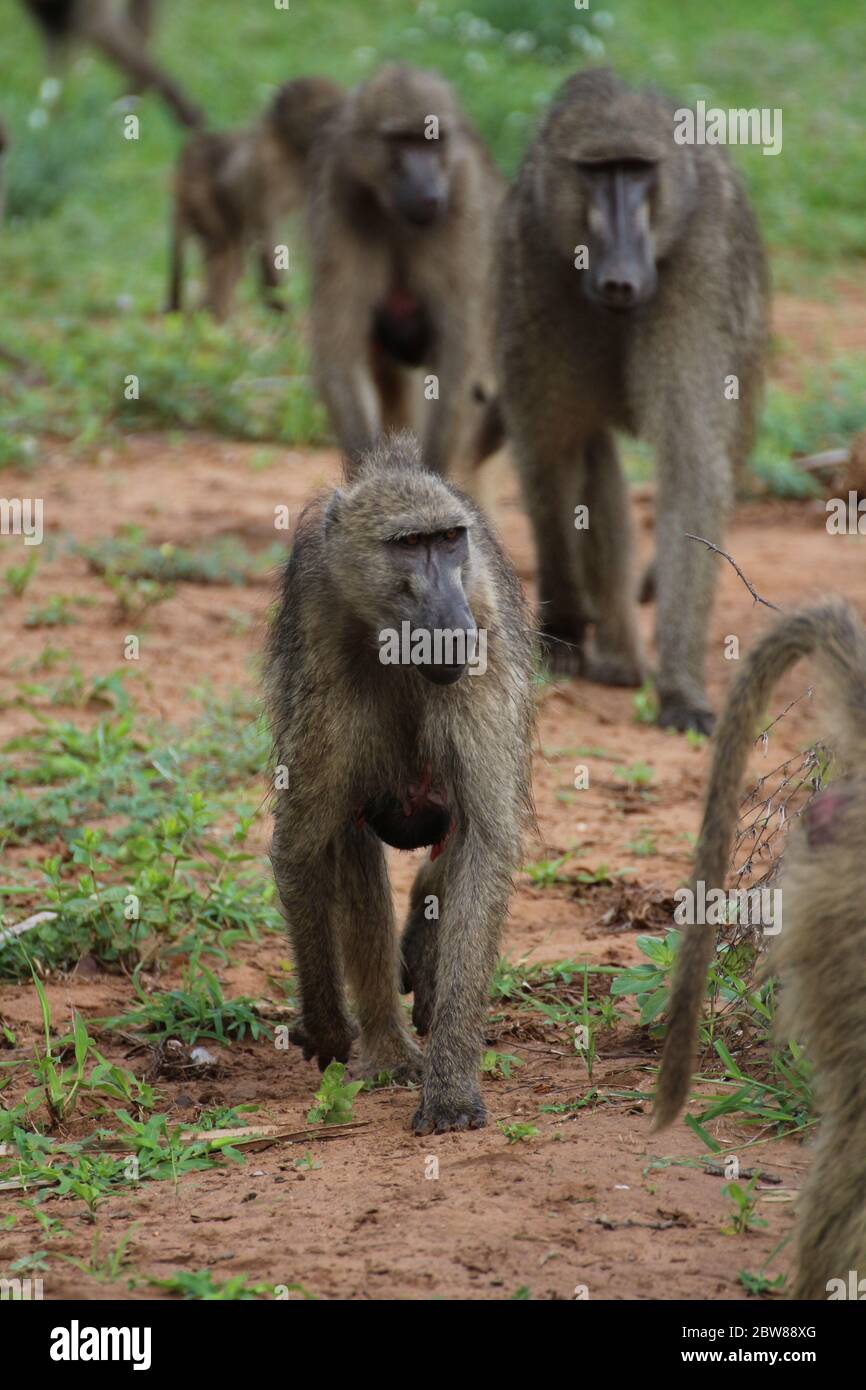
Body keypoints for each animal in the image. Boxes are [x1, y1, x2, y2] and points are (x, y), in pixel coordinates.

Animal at [167, 77, 345, 320]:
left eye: (335, 112)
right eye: (322, 113)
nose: (334, 129)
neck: (289, 146)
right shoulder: (265, 166)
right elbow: (269, 237)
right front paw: (281, 311)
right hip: (200, 198)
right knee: (227, 252)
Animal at [265, 431, 533, 1134]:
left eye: (449, 540)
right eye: (408, 545)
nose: (452, 624)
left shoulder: (482, 657)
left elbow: (488, 842)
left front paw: (451, 1087)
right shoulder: (324, 656)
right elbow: (302, 844)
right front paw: (329, 1026)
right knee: (349, 836)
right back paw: (388, 1047)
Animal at [306, 64, 506, 485]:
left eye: (432, 141)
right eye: (401, 140)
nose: (428, 193)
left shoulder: (463, 196)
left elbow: (457, 357)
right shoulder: (340, 192)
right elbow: (340, 353)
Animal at [496, 69, 769, 733]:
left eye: (638, 170)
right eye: (597, 172)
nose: (620, 277)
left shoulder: (703, 266)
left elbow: (691, 465)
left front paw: (681, 689)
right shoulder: (533, 257)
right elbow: (550, 451)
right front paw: (564, 629)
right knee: (590, 451)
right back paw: (615, 655)